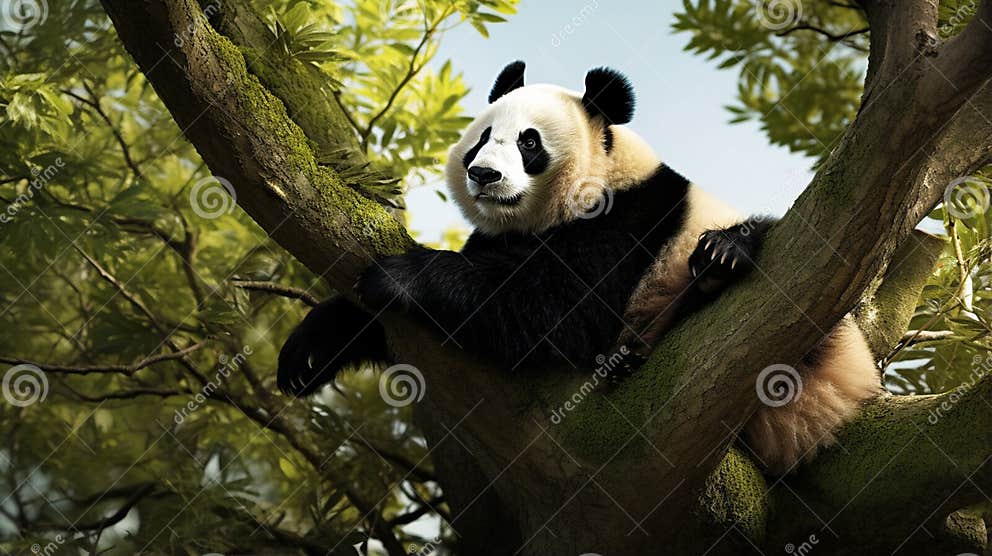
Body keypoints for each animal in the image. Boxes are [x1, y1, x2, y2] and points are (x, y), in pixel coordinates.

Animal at [278, 61, 880, 474]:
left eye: (529, 142)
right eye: (481, 139)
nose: (483, 175)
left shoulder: (625, 224)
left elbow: (556, 307)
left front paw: (402, 276)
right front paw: (308, 352)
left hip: (807, 359)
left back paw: (716, 266)